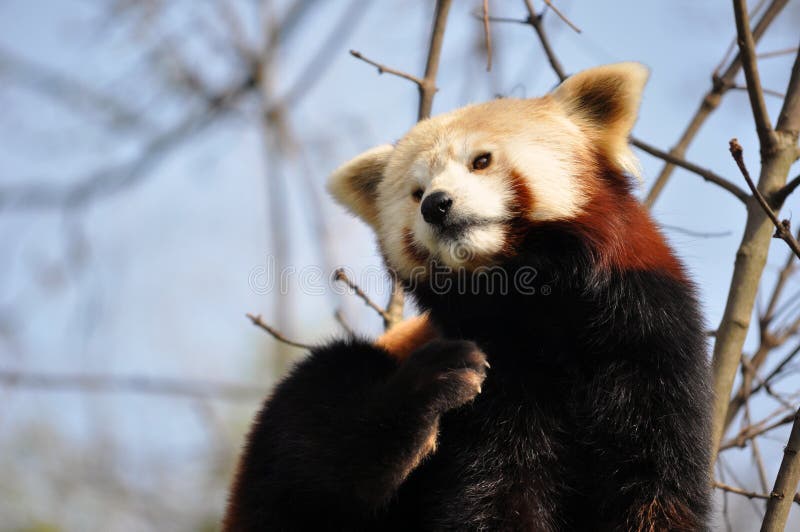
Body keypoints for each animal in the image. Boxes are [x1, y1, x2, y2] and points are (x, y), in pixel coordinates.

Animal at [224, 63, 712, 531]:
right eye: (416, 192)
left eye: (481, 161)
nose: (436, 205)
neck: (531, 297)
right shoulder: (498, 378)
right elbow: (498, 488)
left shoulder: (650, 344)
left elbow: (655, 486)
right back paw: (422, 392)